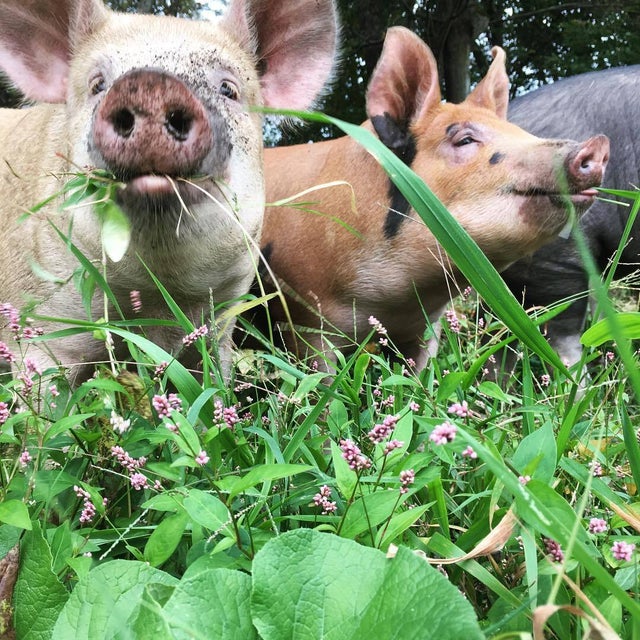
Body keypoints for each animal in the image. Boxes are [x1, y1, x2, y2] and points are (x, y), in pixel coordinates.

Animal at [0, 0, 338, 382]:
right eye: (97, 84)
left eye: (228, 89)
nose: (151, 85)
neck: (159, 294)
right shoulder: (40, 329)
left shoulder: (220, 326)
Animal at [250, 27, 609, 371]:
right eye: (465, 139)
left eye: (520, 132)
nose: (598, 145)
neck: (395, 302)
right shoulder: (307, 320)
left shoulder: (425, 327)